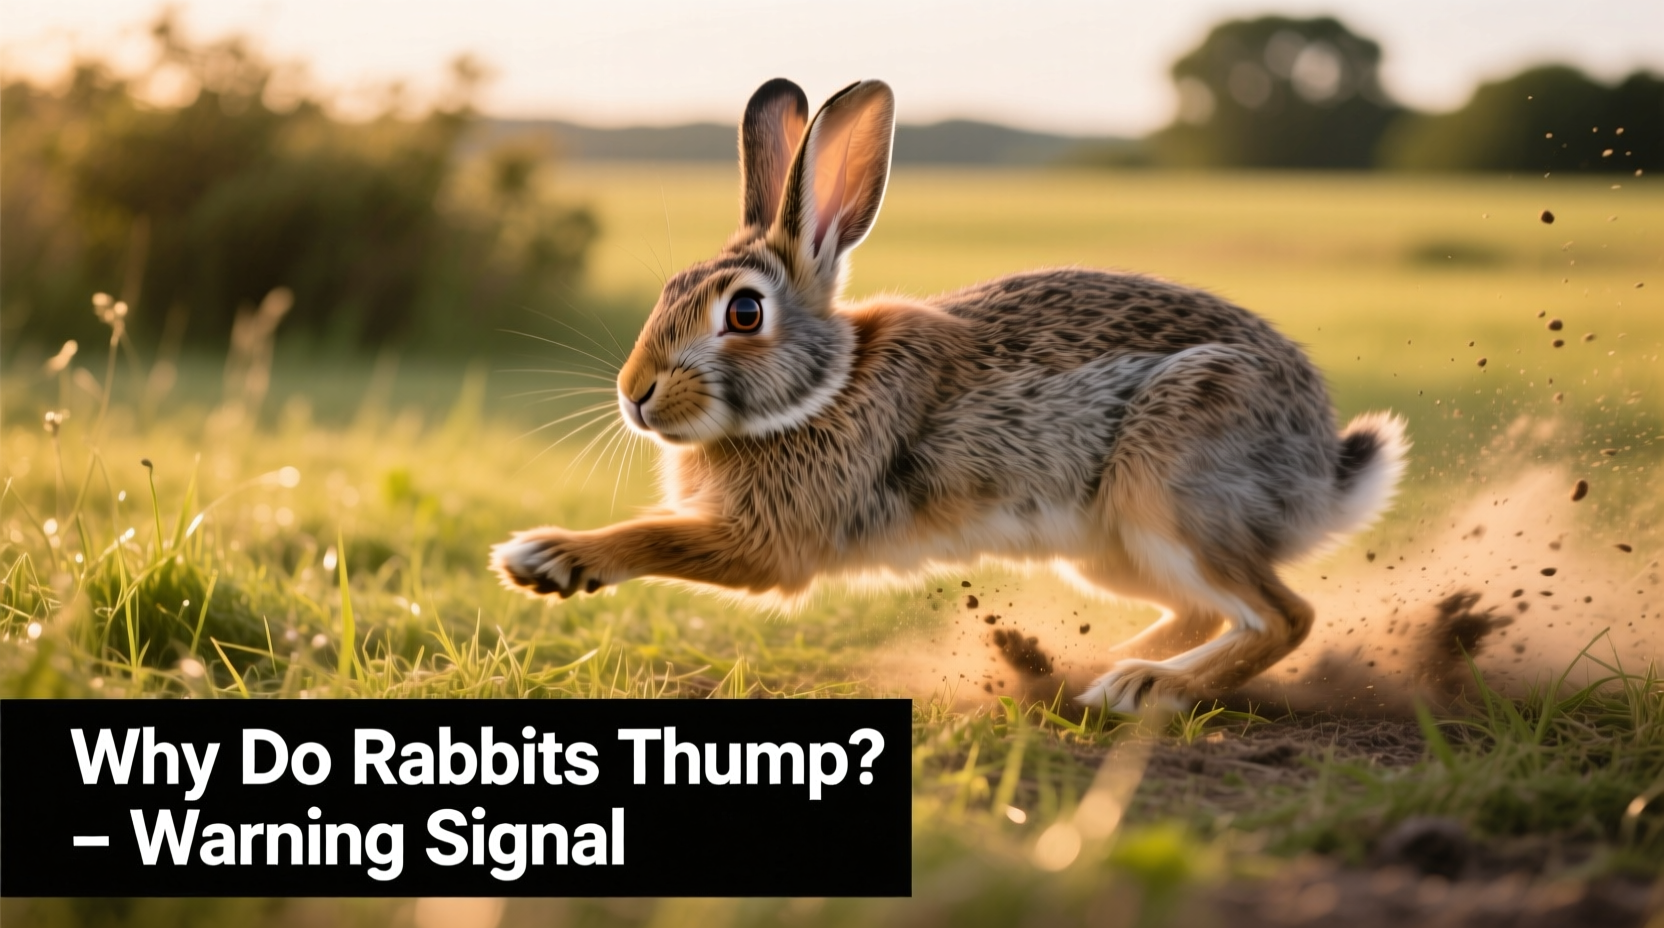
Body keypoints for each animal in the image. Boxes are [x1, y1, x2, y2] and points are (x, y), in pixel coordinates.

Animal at [492, 78, 1408, 712]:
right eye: (669, 292)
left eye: (744, 312)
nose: (635, 395)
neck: (823, 389)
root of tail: (1322, 470)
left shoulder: (770, 545)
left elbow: (654, 536)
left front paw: (546, 558)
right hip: (1111, 549)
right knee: (1209, 614)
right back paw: (1090, 667)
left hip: (1173, 491)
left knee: (1283, 616)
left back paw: (1146, 688)